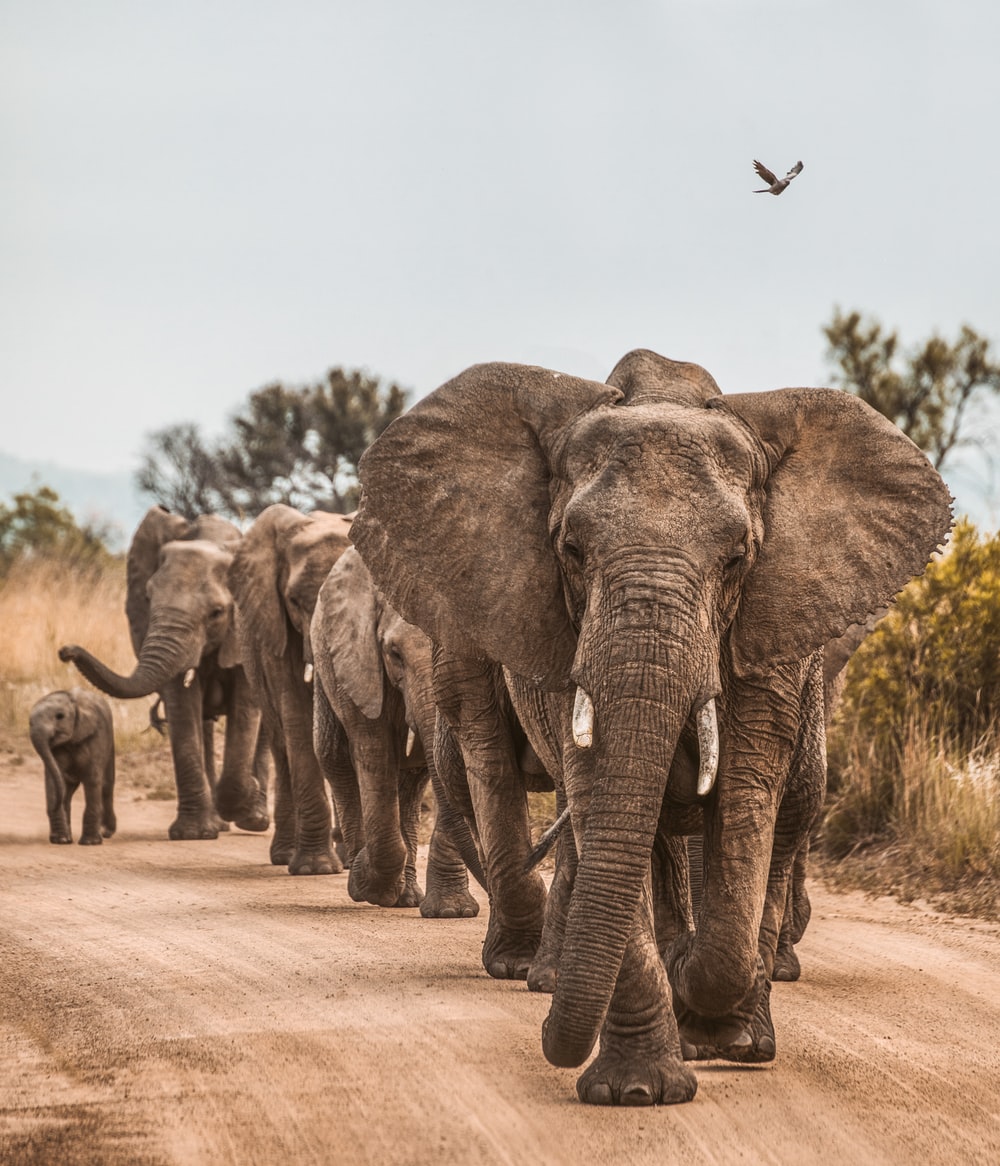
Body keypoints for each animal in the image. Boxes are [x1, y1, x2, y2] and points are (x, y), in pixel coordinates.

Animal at [29, 687, 116, 845]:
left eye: (60, 716)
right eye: (29, 722)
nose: (53, 807)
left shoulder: (97, 736)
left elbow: (92, 778)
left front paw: (90, 843)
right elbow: (54, 779)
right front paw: (61, 840)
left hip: (110, 742)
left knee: (106, 785)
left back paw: (106, 832)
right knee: (68, 791)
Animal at [59, 506, 267, 841]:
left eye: (217, 613)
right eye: (147, 599)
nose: (65, 651)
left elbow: (246, 707)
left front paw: (244, 797)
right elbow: (181, 706)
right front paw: (194, 834)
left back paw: (255, 820)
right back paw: (220, 822)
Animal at [227, 503, 354, 874]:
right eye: (295, 601)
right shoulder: (274, 623)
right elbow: (296, 711)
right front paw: (316, 868)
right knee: (281, 743)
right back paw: (286, 855)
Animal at [311, 546, 483, 915]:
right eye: (394, 654)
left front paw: (452, 912)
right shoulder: (360, 660)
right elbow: (373, 752)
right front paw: (366, 884)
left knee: (413, 781)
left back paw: (406, 897)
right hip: (325, 664)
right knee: (335, 759)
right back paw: (363, 878)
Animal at [349, 349, 952, 1106]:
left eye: (738, 558)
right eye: (571, 550)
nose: (547, 1036)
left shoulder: (771, 630)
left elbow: (747, 802)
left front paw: (715, 1020)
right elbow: (600, 798)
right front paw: (639, 1090)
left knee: (776, 819)